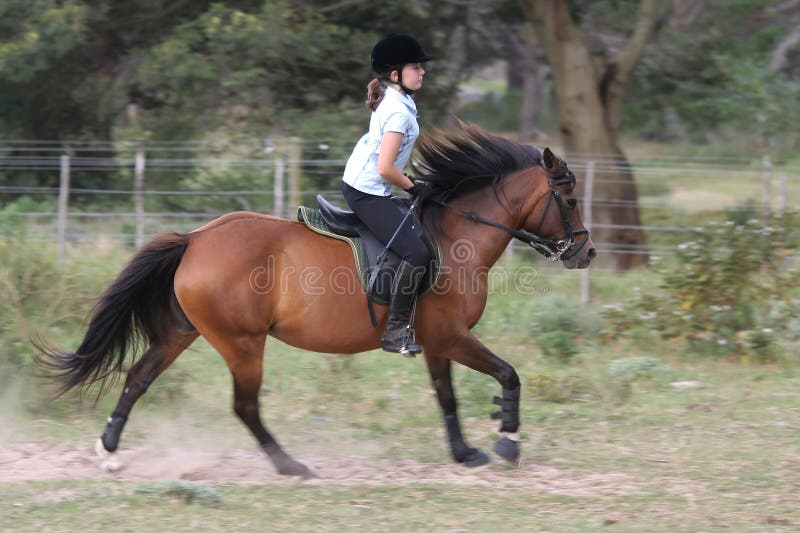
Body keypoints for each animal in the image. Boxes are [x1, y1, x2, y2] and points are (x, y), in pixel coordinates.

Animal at [35, 125, 595, 478]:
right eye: (568, 200)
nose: (585, 252)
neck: (458, 235)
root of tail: (195, 238)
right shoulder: (453, 336)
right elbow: (509, 375)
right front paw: (508, 441)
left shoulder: (436, 342)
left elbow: (447, 398)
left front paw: (464, 453)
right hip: (242, 343)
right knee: (244, 405)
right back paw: (289, 465)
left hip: (181, 331)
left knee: (138, 377)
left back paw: (108, 451)